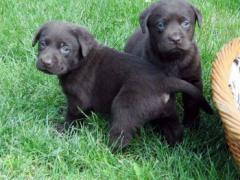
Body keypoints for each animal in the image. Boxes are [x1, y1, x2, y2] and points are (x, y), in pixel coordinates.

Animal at [124, 0, 205, 128]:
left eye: (186, 23)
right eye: (160, 25)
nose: (175, 39)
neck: (174, 59)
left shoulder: (193, 80)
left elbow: (192, 104)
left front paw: (191, 125)